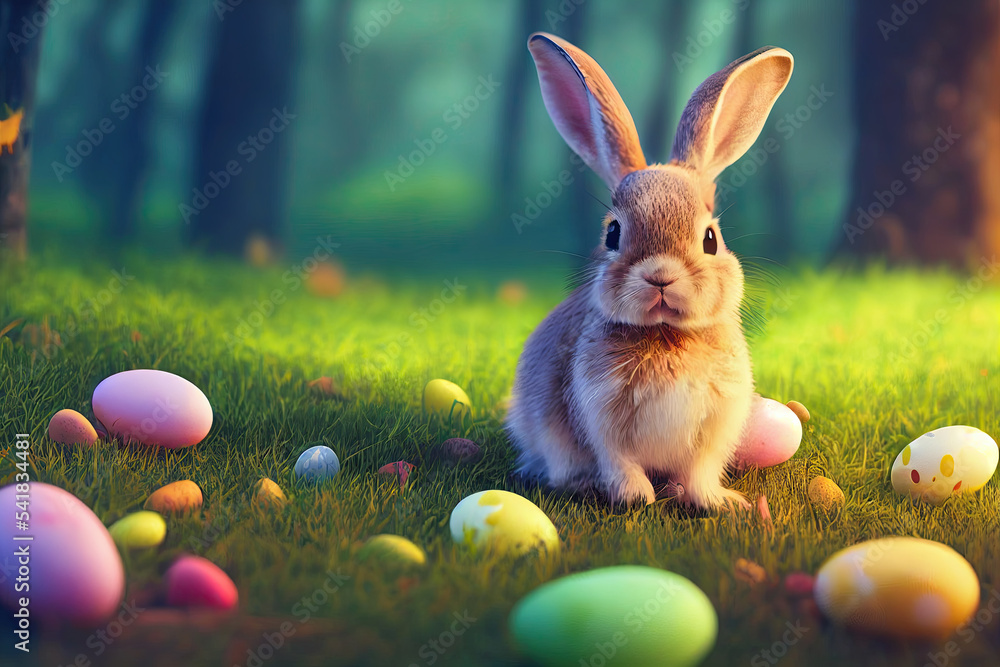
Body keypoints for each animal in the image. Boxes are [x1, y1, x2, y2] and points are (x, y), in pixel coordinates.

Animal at [505, 33, 793, 511]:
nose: (660, 276)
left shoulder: (715, 427)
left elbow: (700, 472)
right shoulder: (601, 421)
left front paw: (717, 502)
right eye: (613, 233)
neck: (664, 333)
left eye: (710, 239)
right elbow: (620, 463)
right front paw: (636, 498)